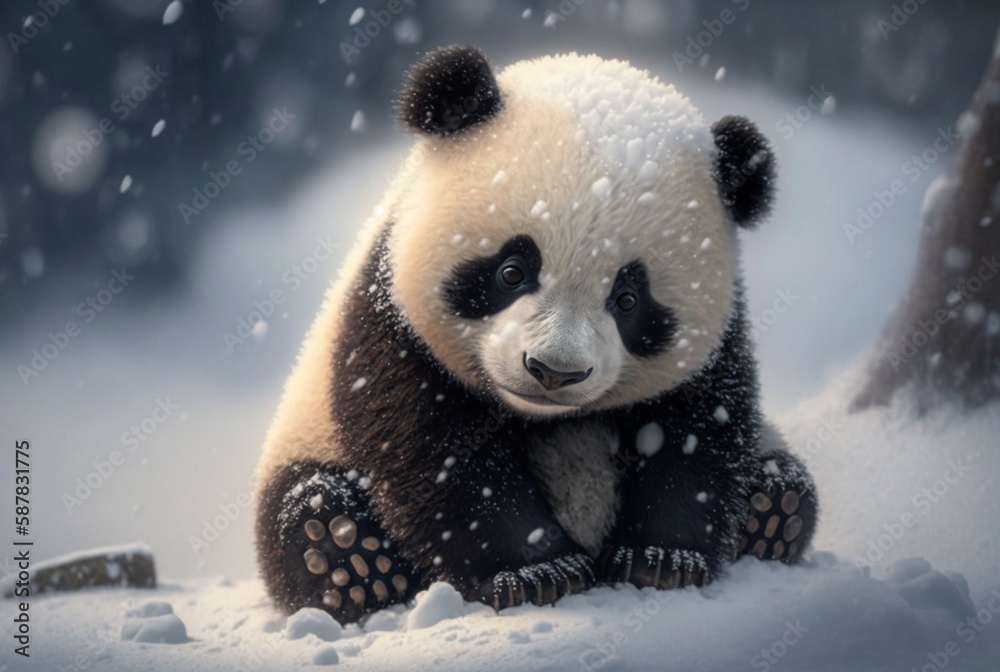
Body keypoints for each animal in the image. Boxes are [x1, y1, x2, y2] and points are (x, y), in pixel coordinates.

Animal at [255, 45, 817, 625]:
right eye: (512, 270)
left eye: (628, 300)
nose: (553, 371)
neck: (547, 416)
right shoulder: (393, 322)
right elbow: (438, 454)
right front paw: (539, 573)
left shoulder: (717, 344)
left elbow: (697, 432)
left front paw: (664, 560)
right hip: (310, 435)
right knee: (305, 503)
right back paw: (351, 562)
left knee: (784, 475)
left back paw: (774, 515)